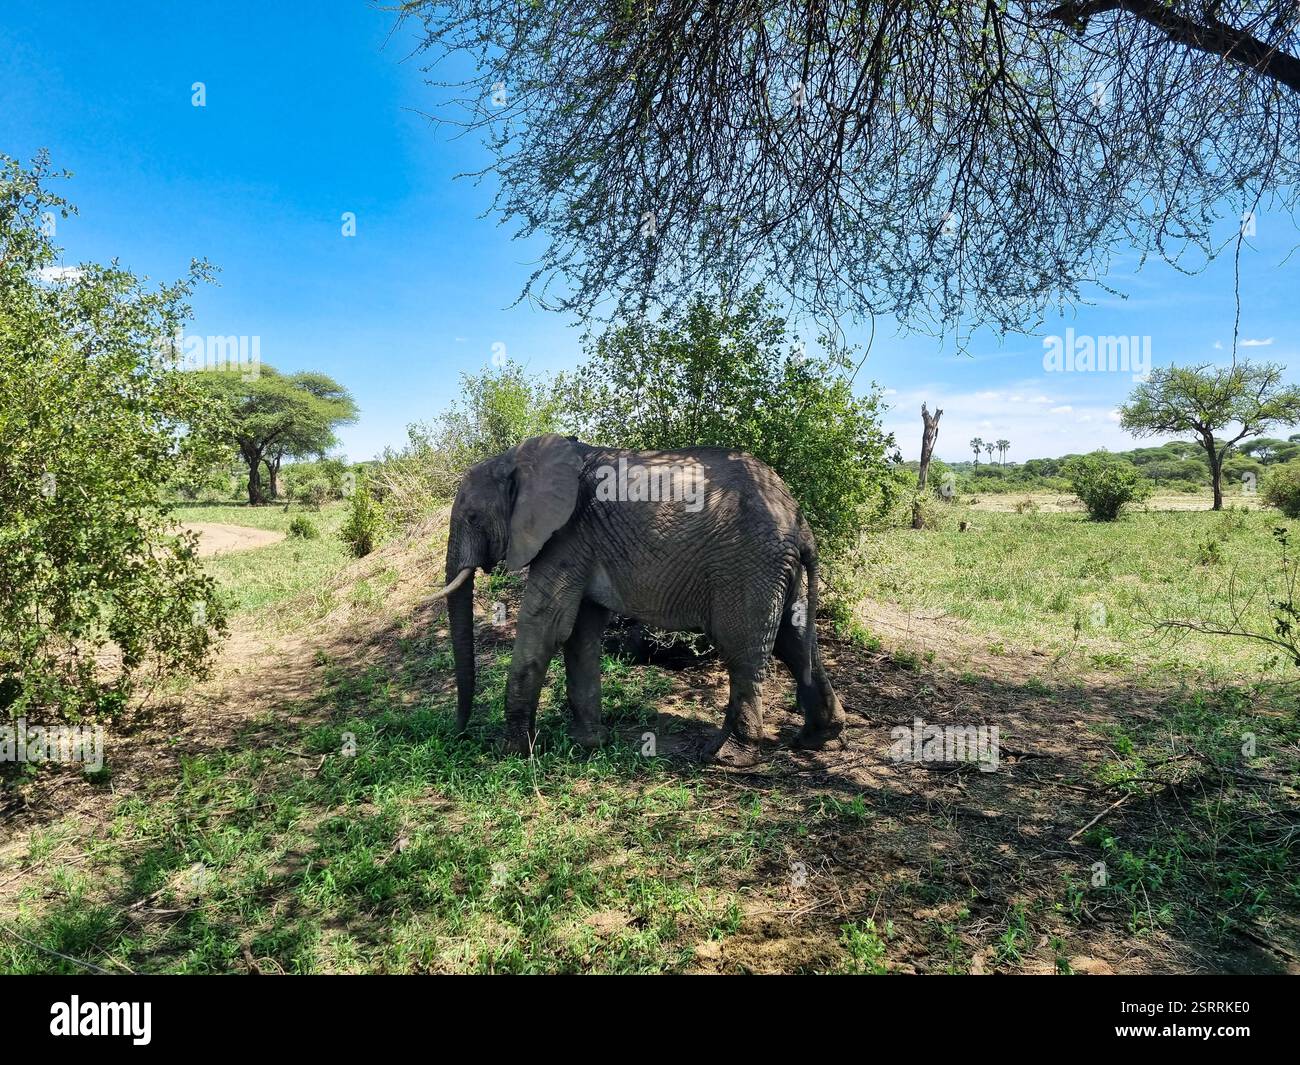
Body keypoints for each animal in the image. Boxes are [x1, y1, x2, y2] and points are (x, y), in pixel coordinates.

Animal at [435, 433, 845, 766]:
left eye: (473, 518)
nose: (458, 734)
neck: (516, 457)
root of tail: (800, 521)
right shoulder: (584, 542)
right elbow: (580, 632)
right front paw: (589, 742)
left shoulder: (567, 535)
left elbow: (546, 624)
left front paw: (510, 752)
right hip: (775, 566)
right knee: (793, 641)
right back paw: (815, 738)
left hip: (748, 563)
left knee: (742, 648)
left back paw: (727, 756)